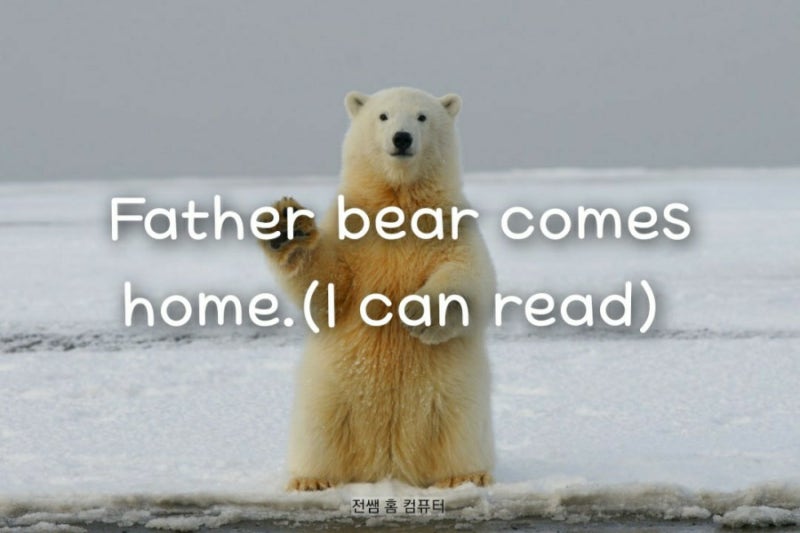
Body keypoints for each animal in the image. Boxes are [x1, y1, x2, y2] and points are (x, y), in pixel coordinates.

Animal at [260, 87, 496, 491]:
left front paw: (419, 313)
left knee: (460, 431)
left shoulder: (453, 228)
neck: (397, 203)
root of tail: (389, 465)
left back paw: (466, 476)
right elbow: (329, 288)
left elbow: (469, 277)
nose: (401, 138)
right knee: (319, 432)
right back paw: (311, 480)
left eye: (422, 116)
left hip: (456, 396)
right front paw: (287, 227)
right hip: (329, 394)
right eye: (383, 116)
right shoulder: (351, 235)